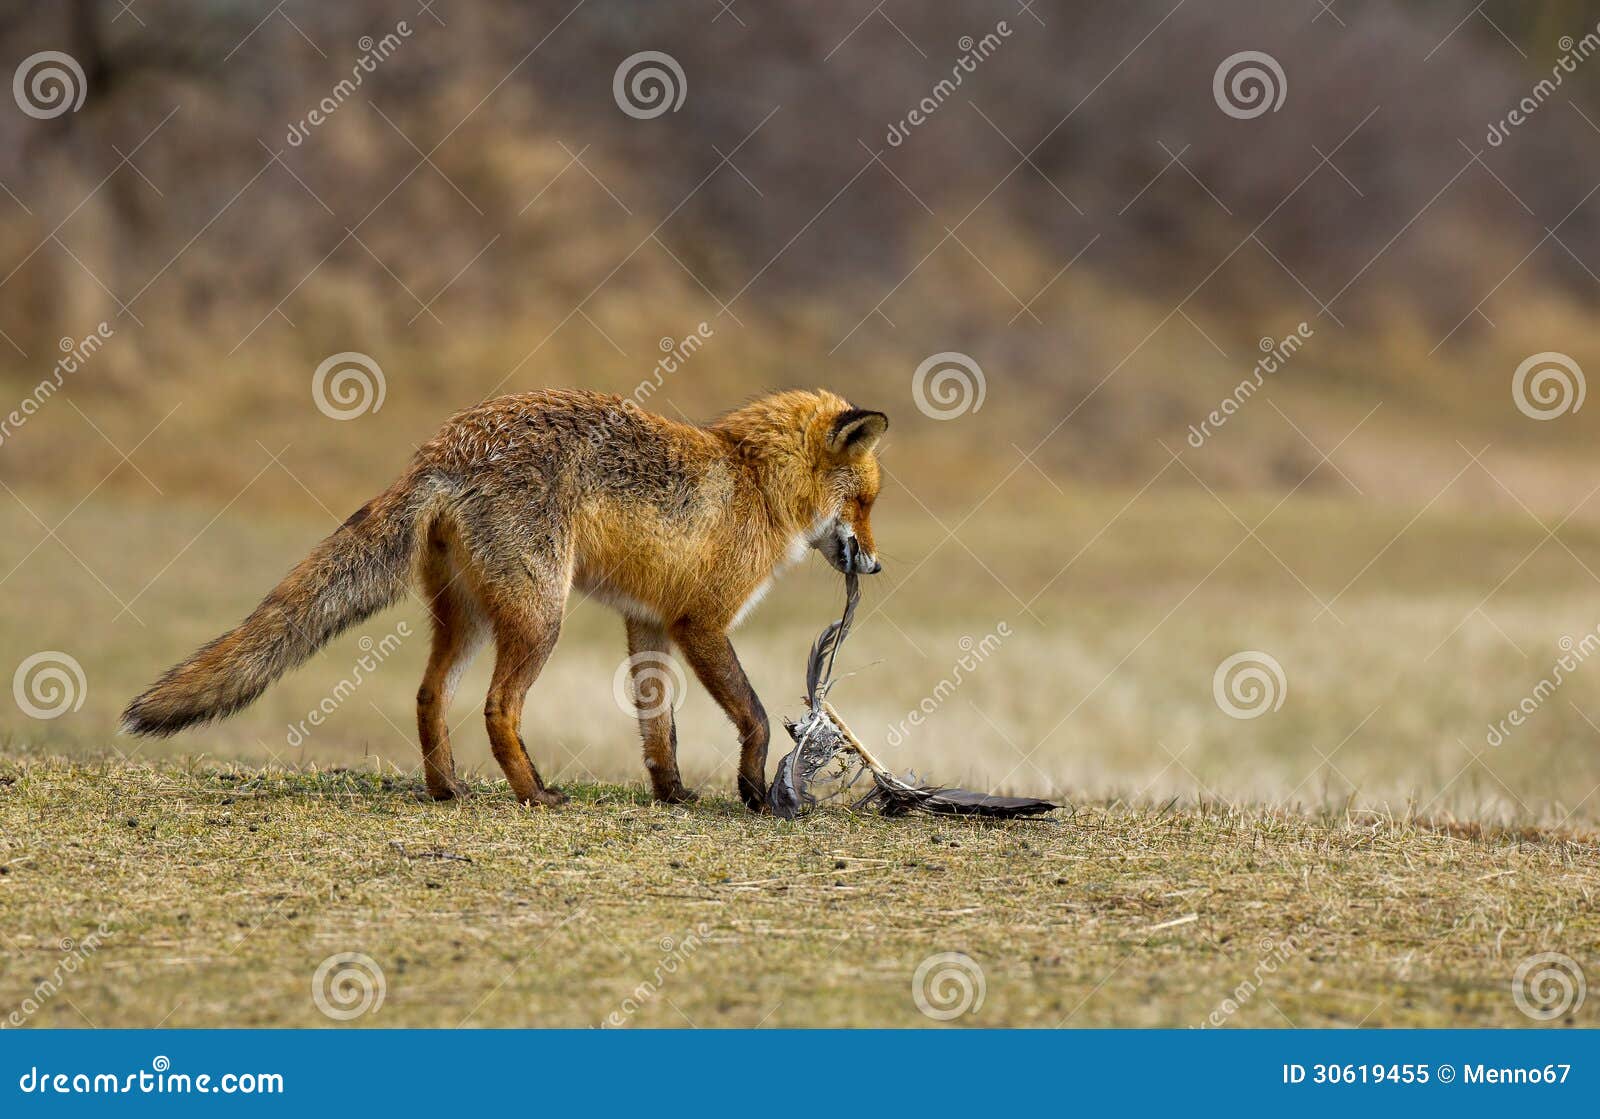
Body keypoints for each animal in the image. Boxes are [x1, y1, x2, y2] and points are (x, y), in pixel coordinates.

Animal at [120, 388, 887, 811]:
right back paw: (533, 793)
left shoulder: (648, 623)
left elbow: (658, 730)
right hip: (541, 618)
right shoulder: (700, 623)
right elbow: (753, 715)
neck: (754, 480)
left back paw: (447, 788)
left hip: (465, 618)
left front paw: (671, 794)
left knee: (430, 695)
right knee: (497, 707)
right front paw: (756, 791)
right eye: (867, 503)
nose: (877, 565)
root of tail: (443, 449)